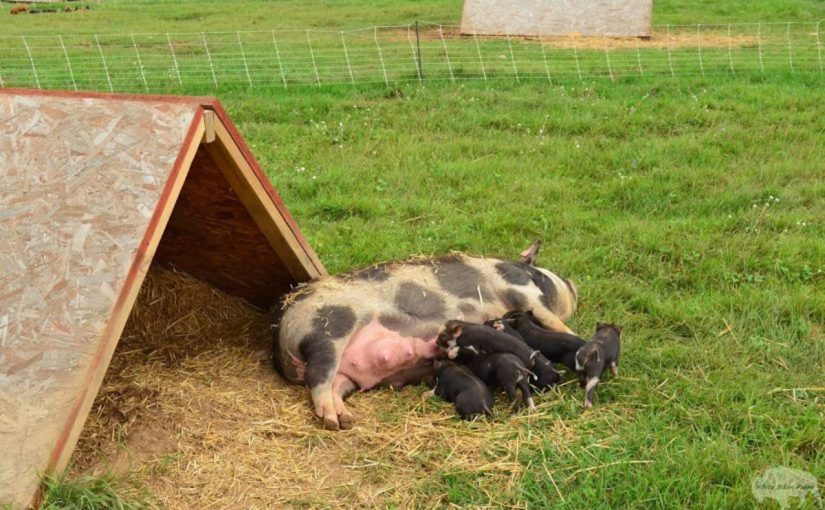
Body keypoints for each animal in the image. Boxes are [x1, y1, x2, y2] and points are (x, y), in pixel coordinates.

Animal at [272, 241, 579, 430]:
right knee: (319, 380)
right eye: (547, 275)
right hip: (329, 330)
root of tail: (281, 337)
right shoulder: (522, 290)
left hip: (346, 372)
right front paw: (574, 333)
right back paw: (333, 421)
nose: (574, 284)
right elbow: (553, 320)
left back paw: (346, 419)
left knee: (335, 385)